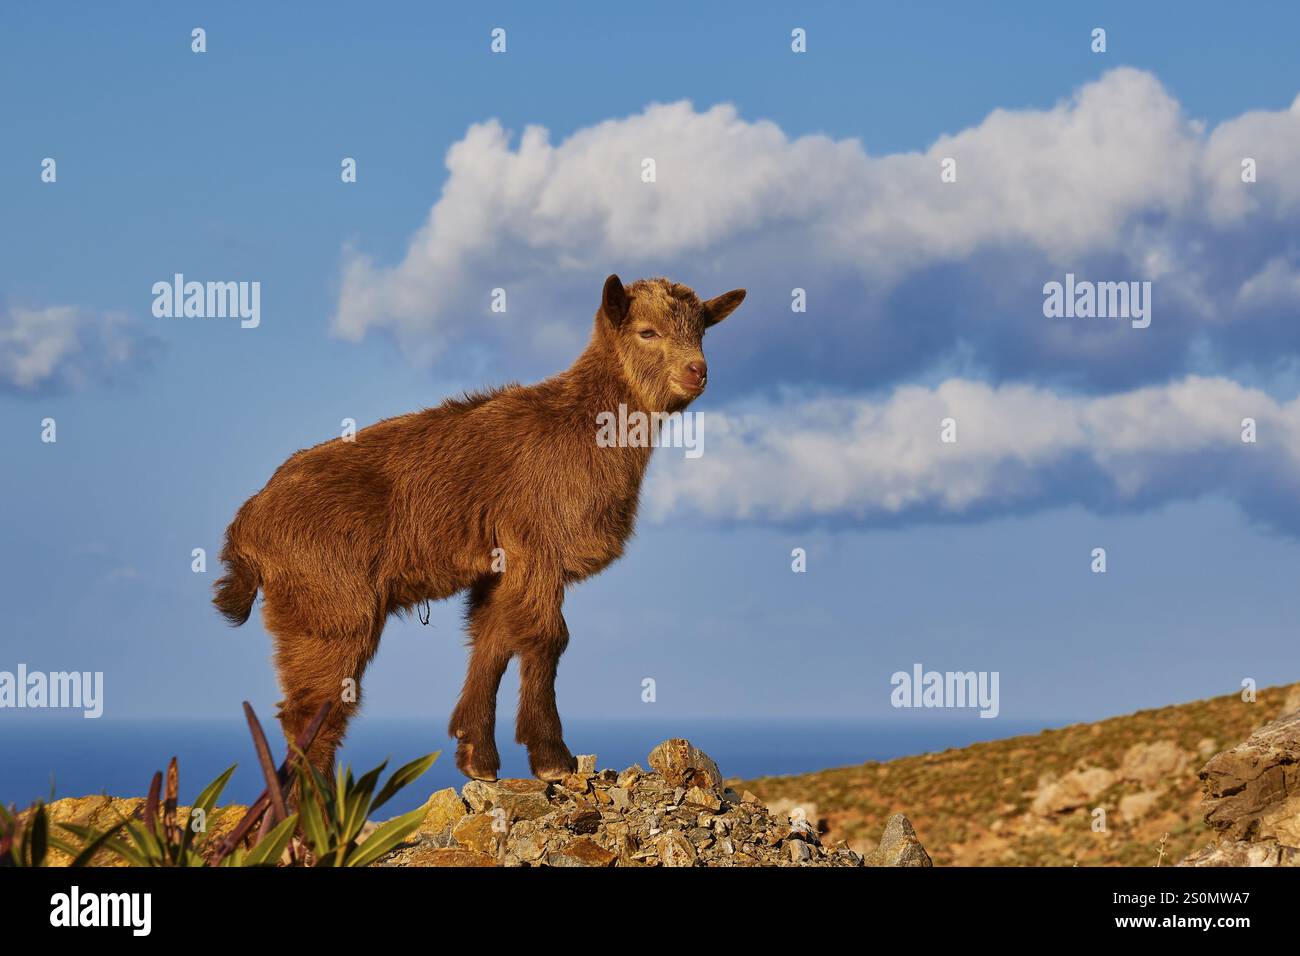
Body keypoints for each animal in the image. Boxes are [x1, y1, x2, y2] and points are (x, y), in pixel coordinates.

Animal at [213, 275, 745, 781]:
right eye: (646, 331)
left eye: (701, 331)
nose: (697, 372)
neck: (586, 424)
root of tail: (248, 522)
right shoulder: (537, 547)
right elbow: (546, 637)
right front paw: (552, 757)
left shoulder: (499, 566)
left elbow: (490, 642)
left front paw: (477, 755)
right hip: (330, 611)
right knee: (312, 712)